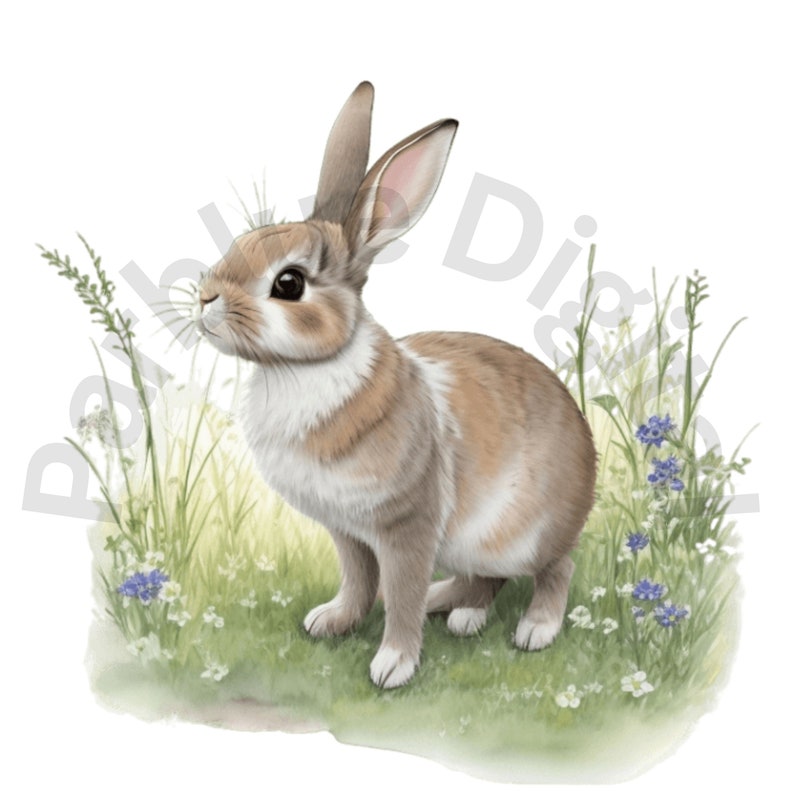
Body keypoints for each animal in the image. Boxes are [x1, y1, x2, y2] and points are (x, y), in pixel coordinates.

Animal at [196, 81, 597, 689]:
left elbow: (400, 592)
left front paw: (393, 665)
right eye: (243, 240)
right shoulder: (348, 531)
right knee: (486, 579)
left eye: (289, 283)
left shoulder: (409, 525)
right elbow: (360, 582)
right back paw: (457, 609)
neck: (306, 369)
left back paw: (535, 628)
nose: (204, 299)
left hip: (523, 533)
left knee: (556, 567)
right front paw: (331, 622)